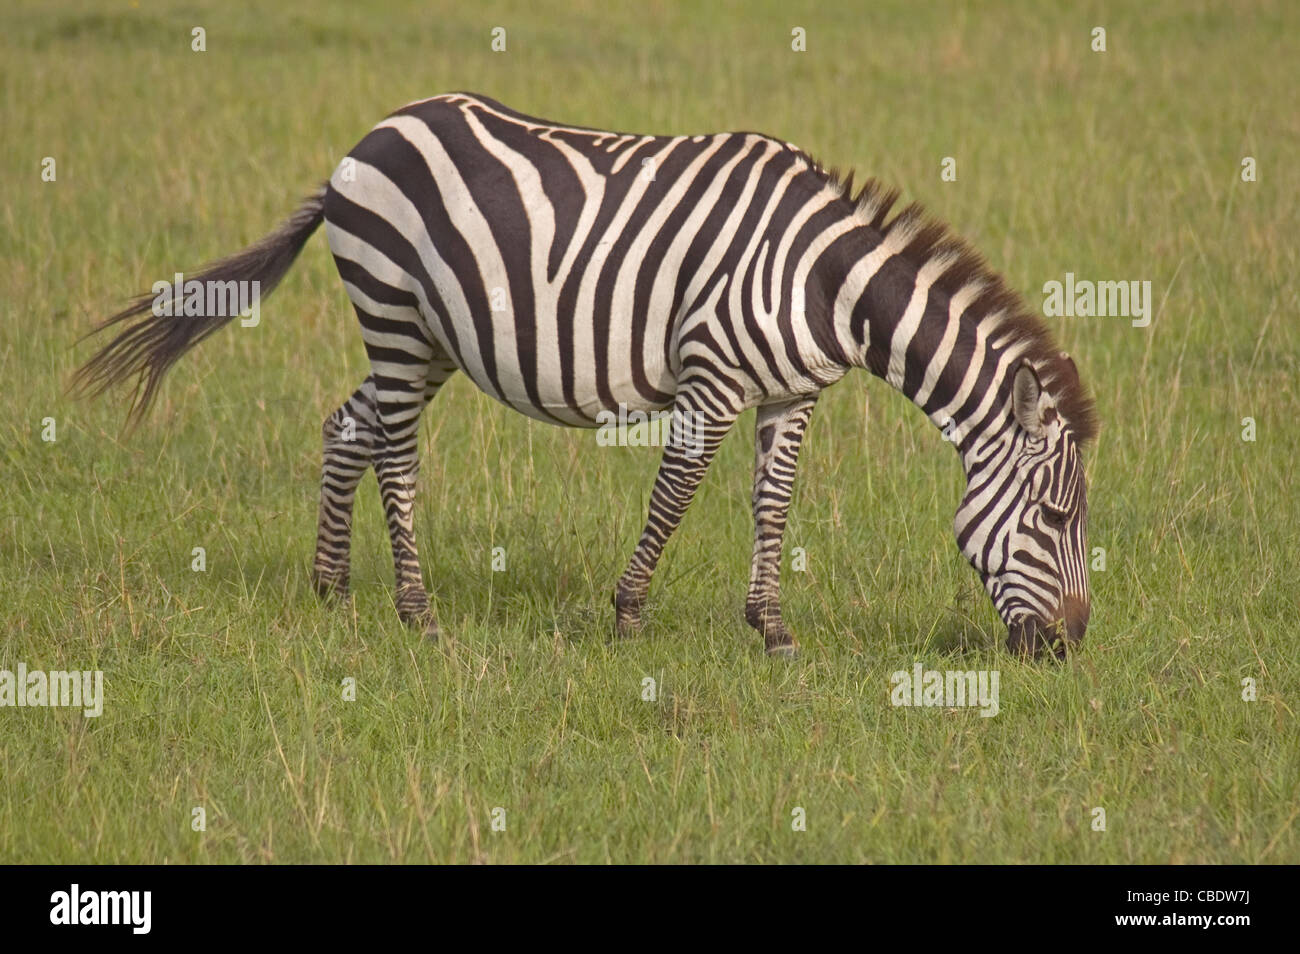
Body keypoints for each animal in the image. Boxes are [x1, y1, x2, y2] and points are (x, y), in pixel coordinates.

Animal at [75, 92, 1098, 659]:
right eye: (1055, 520)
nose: (1071, 647)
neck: (823, 279)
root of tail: (371, 136)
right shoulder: (713, 376)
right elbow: (677, 492)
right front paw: (628, 614)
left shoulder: (792, 393)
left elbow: (773, 505)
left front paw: (772, 630)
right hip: (393, 311)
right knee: (396, 454)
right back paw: (417, 613)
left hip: (429, 336)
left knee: (348, 424)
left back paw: (332, 587)